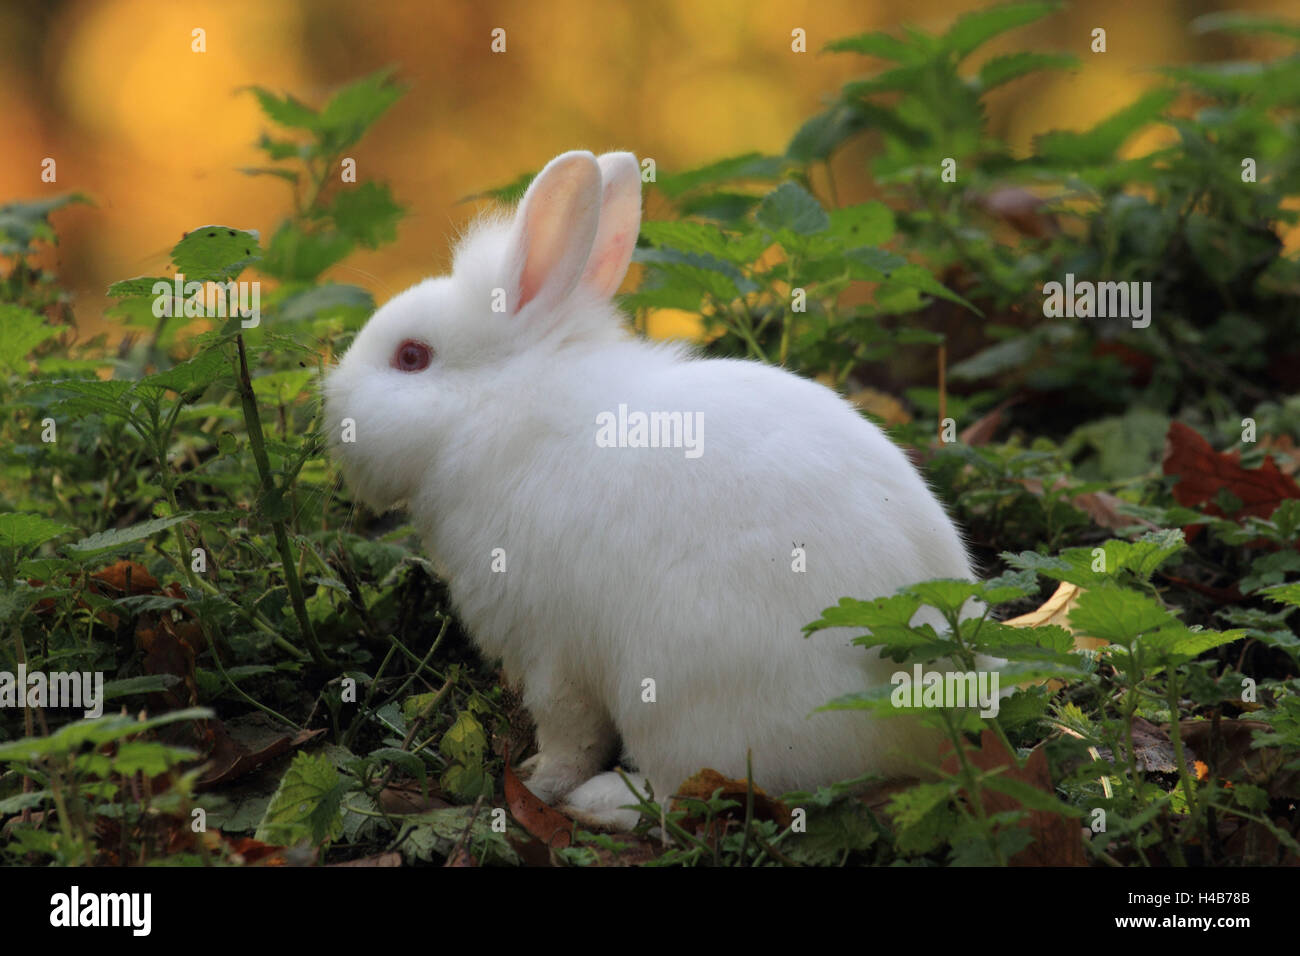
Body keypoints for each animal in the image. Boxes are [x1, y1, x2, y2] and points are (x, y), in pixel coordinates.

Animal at [323, 149, 979, 831]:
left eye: (412, 357)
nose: (333, 413)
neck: (498, 403)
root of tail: (926, 712)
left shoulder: (549, 648)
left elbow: (569, 732)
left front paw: (538, 780)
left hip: (678, 699)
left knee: (685, 795)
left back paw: (602, 801)